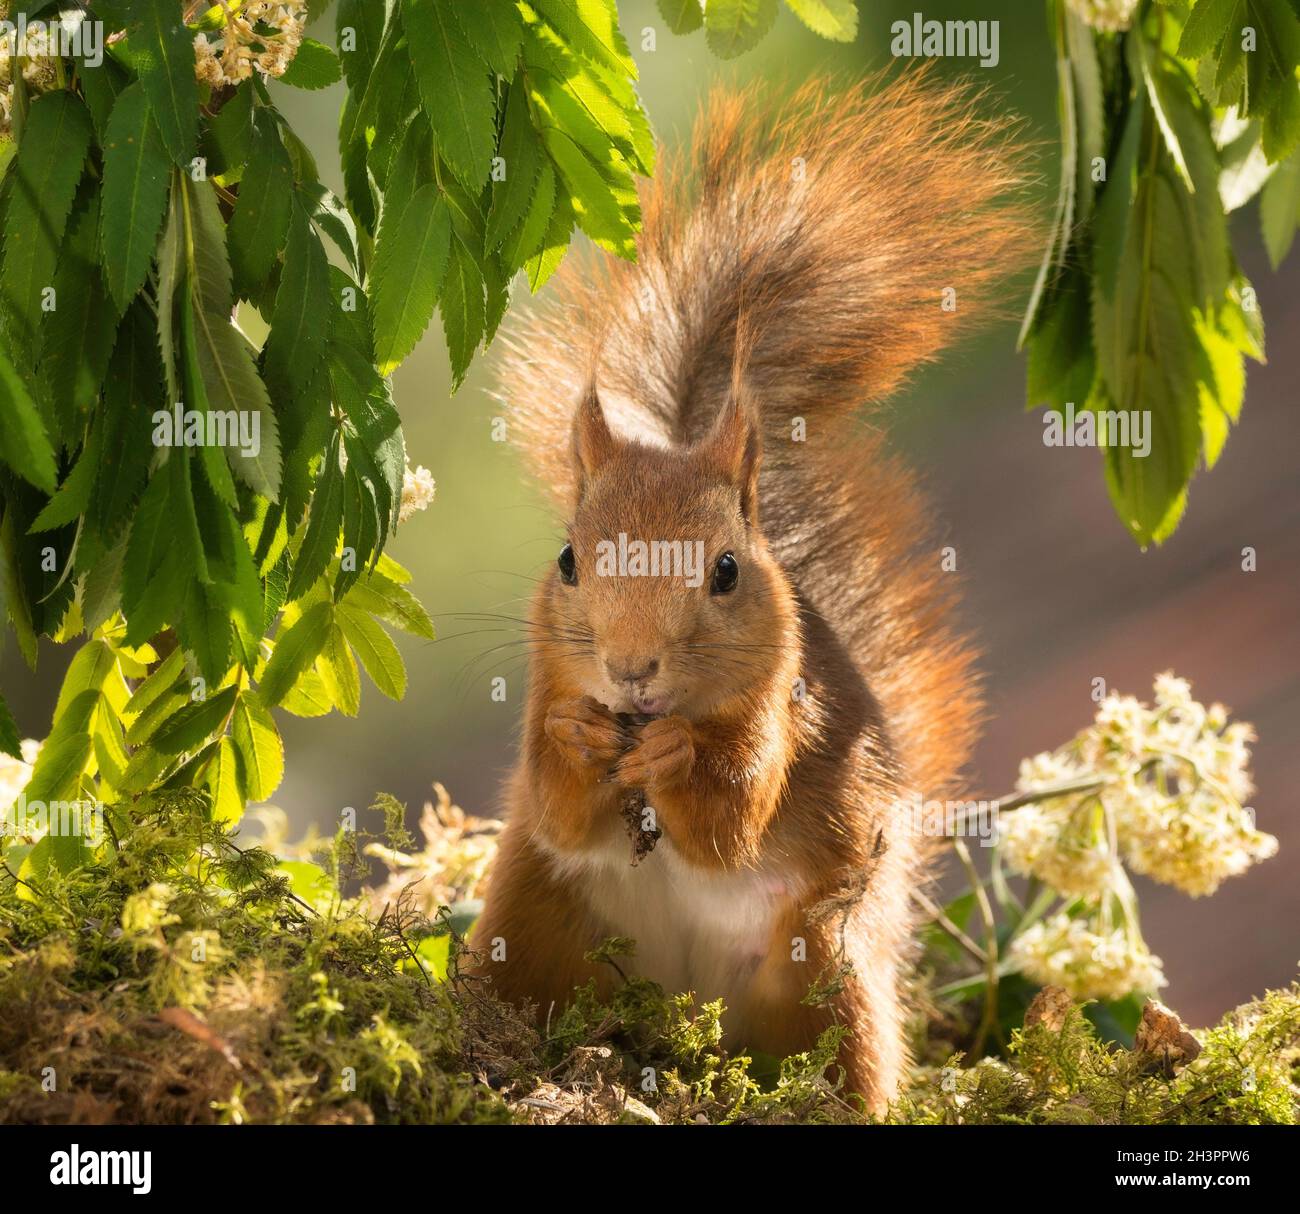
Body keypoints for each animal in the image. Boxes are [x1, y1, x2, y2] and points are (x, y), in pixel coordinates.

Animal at [469, 72, 1034, 1112]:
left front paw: (681, 758)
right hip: (531, 923)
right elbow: (558, 799)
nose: (632, 669)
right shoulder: (545, 687)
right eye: (568, 560)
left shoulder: (785, 711)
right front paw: (577, 740)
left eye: (726, 572)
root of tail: (681, 1002)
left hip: (824, 969)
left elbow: (732, 822)